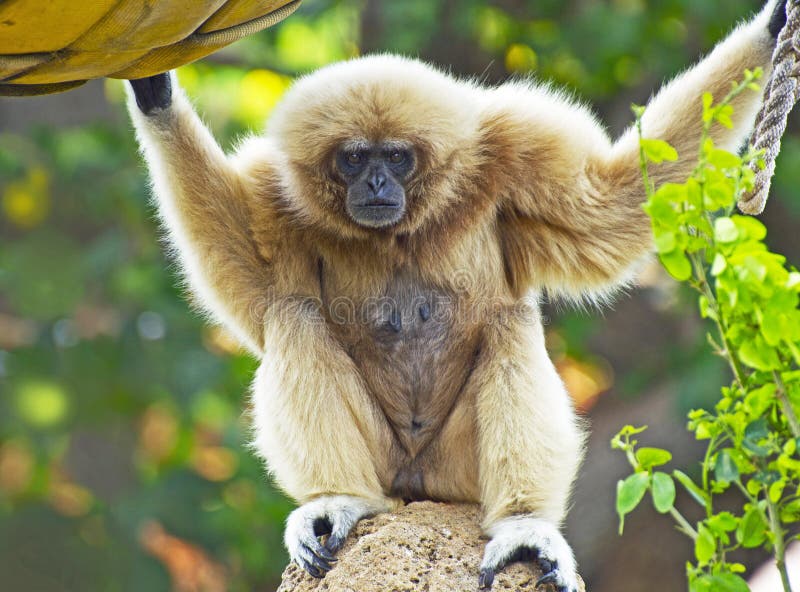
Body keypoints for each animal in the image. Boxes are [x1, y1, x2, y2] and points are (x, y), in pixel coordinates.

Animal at [126, 2, 791, 590]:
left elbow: (615, 206)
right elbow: (252, 274)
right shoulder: (278, 193)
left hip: (458, 472)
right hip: (389, 468)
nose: (375, 183)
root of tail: (418, 489)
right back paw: (338, 498)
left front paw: (773, 28)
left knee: (508, 321)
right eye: (353, 159)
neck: (399, 228)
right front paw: (152, 90)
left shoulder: (521, 148)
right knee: (294, 314)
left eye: (396, 157)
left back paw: (522, 524)